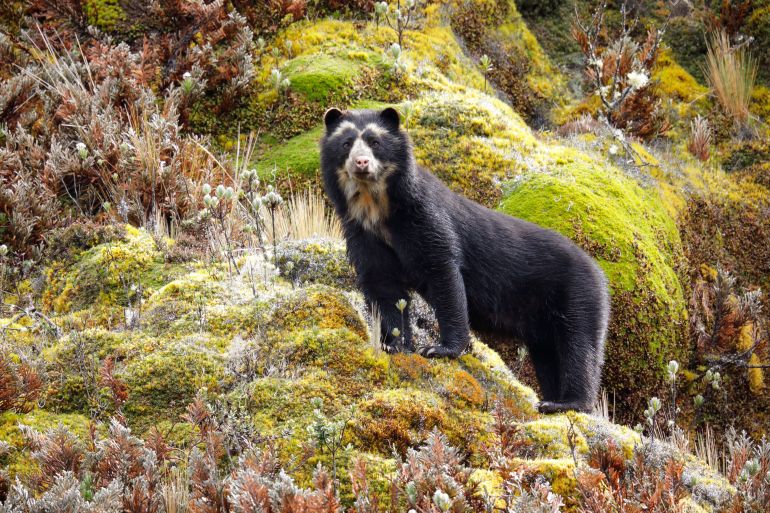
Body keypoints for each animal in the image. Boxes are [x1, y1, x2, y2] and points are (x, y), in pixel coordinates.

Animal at [316, 107, 608, 412]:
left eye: (375, 142)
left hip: (577, 297)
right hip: (544, 323)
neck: (376, 207)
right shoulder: (362, 234)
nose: (361, 163)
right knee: (550, 357)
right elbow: (383, 287)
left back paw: (566, 404)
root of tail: (599, 271)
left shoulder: (425, 218)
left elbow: (443, 274)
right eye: (346, 143)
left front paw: (439, 349)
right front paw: (393, 345)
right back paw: (551, 399)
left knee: (578, 347)